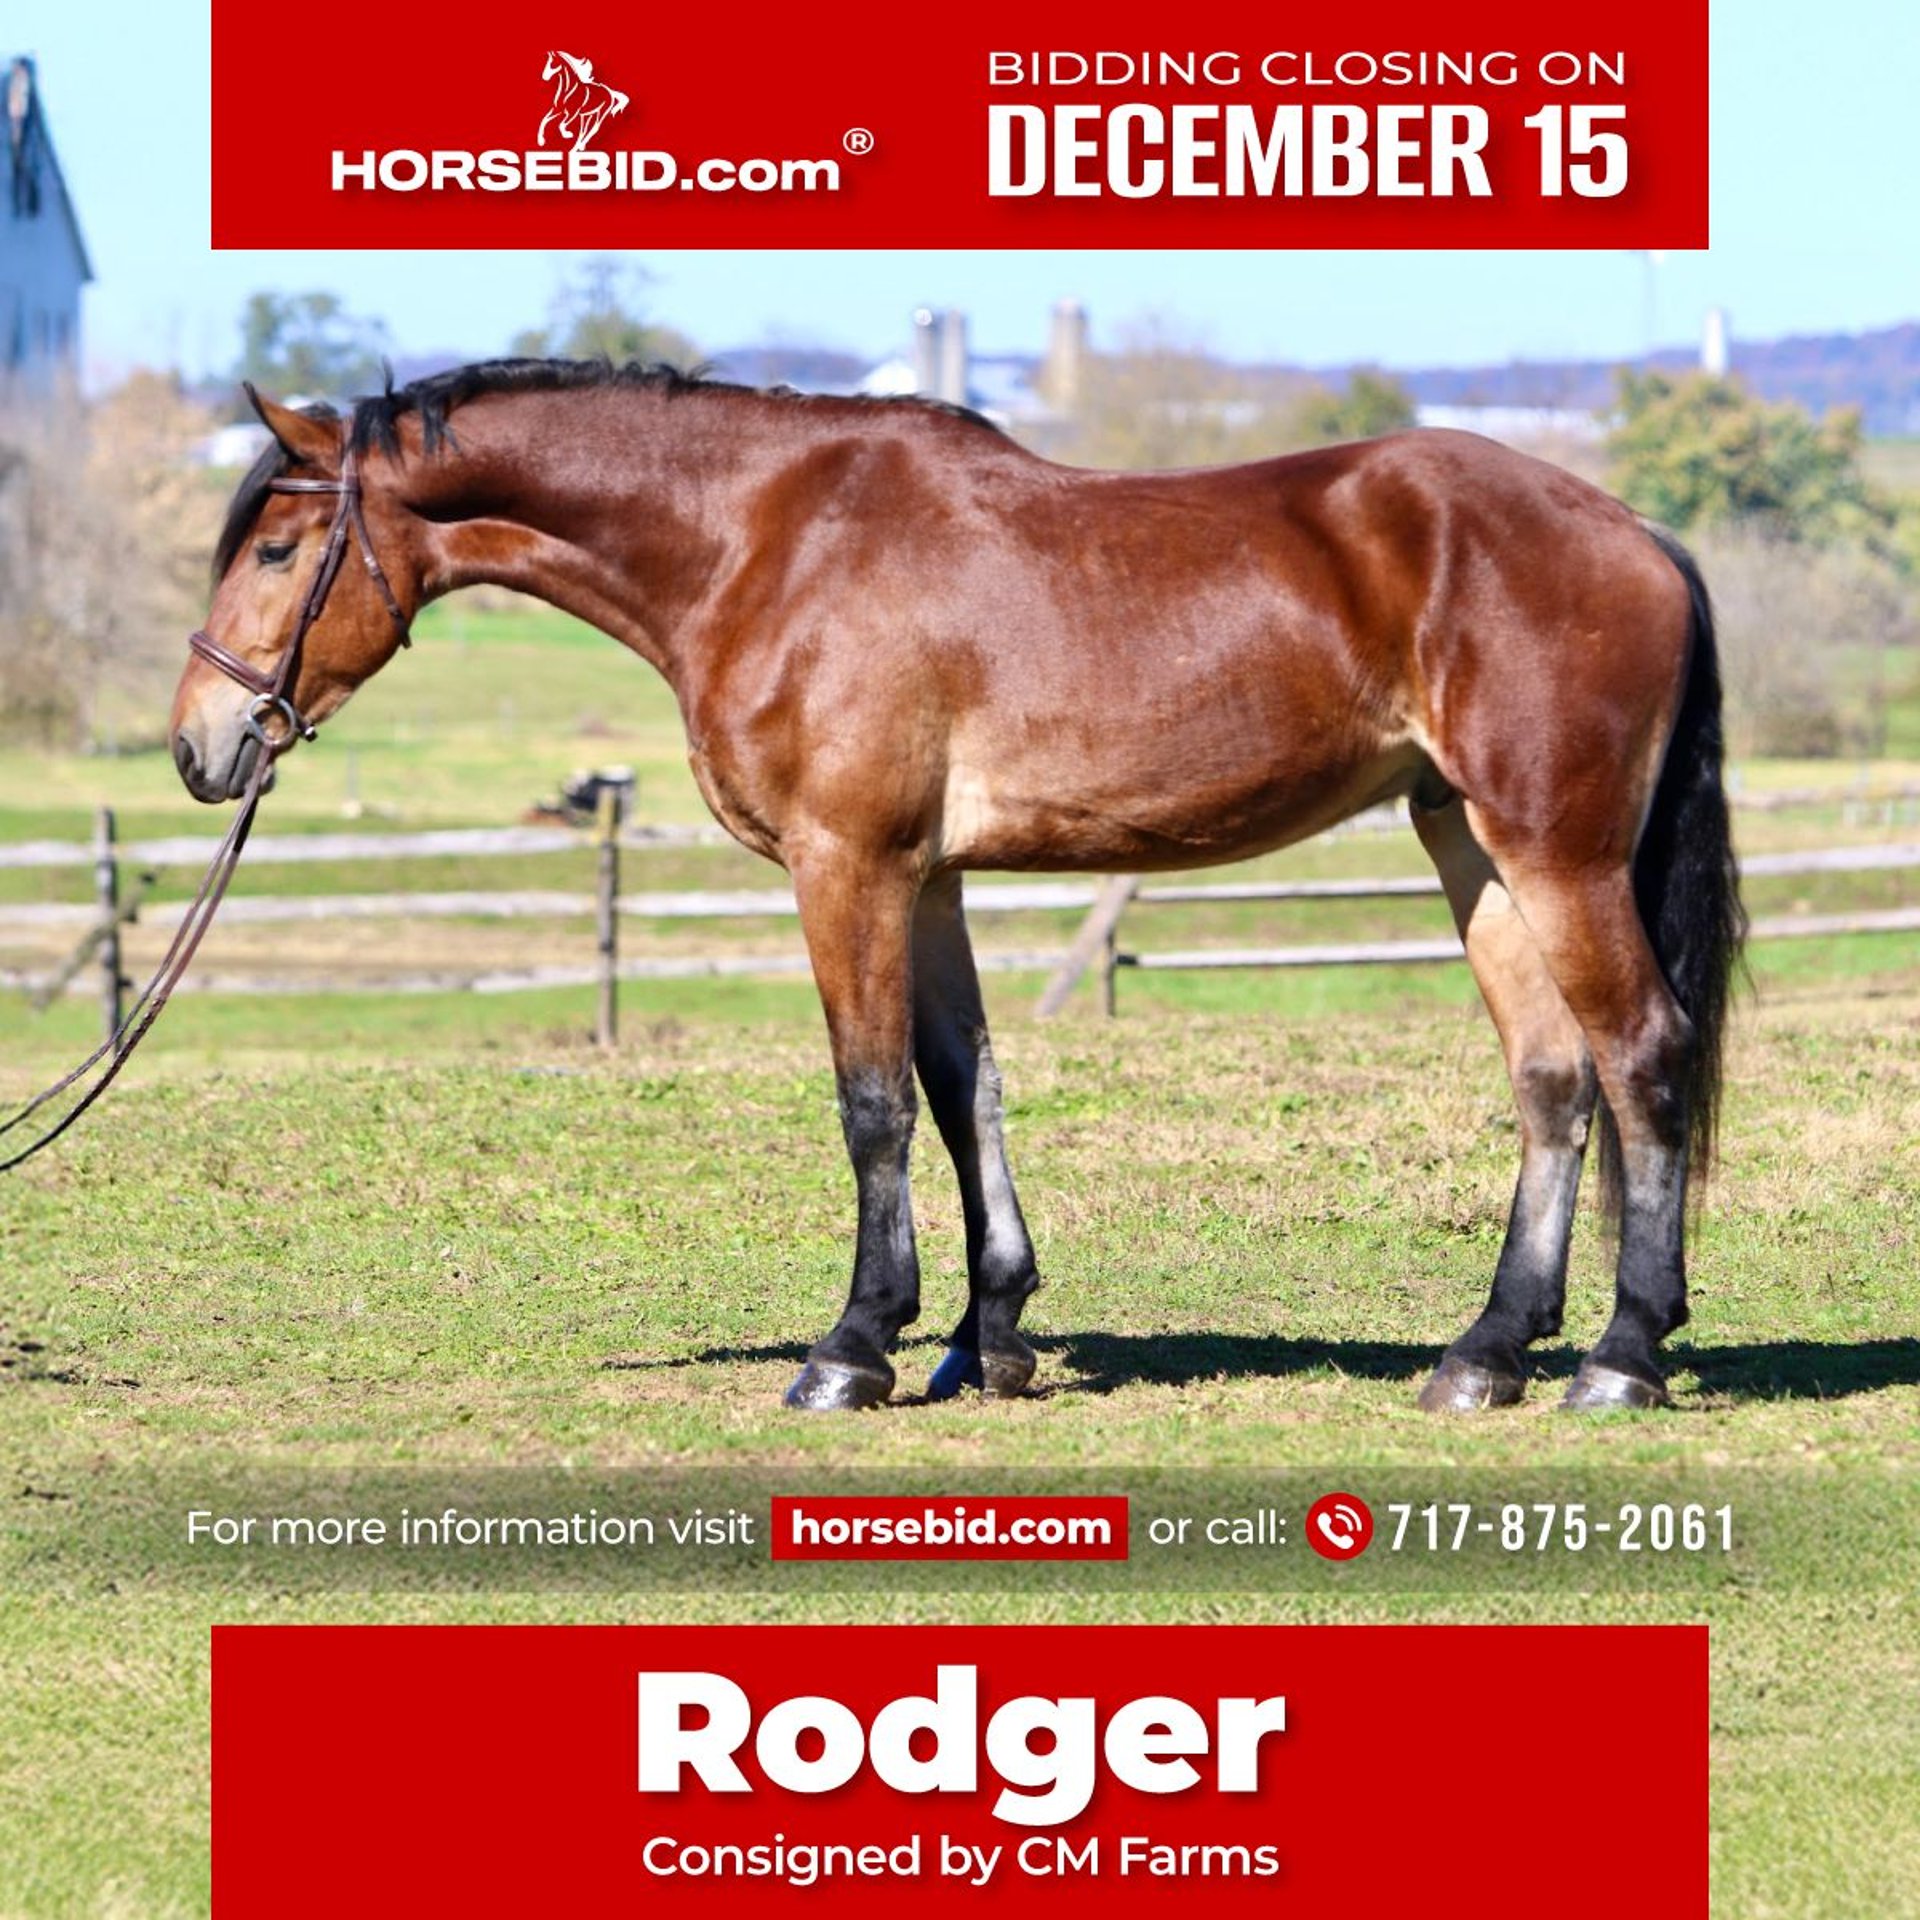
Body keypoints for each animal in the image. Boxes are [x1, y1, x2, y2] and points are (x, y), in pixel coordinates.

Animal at [170, 361, 1745, 1416]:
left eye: (278, 547)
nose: (201, 744)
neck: (761, 542)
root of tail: (1643, 535)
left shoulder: (847, 866)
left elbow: (870, 1101)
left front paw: (855, 1345)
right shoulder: (927, 883)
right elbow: (958, 1083)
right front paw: (985, 1340)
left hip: (1555, 851)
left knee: (1642, 1054)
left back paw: (1620, 1357)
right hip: (1466, 842)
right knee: (1552, 1078)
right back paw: (1487, 1354)